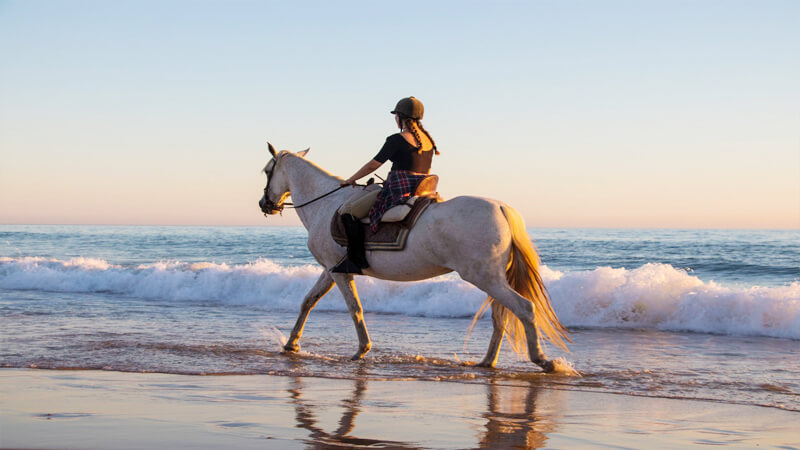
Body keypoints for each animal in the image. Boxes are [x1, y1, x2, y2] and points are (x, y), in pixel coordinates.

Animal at [259, 143, 571, 373]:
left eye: (266, 171)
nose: (265, 204)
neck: (325, 203)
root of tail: (502, 208)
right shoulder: (331, 269)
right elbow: (308, 301)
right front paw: (291, 344)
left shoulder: (338, 271)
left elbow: (354, 308)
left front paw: (362, 350)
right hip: (492, 280)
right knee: (502, 317)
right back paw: (487, 362)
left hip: (486, 278)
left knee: (523, 308)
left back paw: (543, 361)